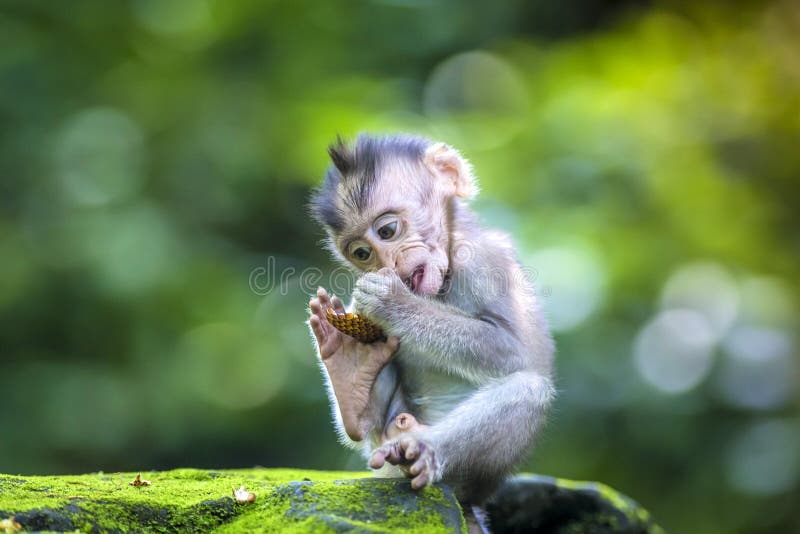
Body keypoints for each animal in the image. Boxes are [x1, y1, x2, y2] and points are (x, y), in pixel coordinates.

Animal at [307, 133, 555, 518]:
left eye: (387, 231)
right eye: (362, 253)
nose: (387, 263)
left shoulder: (483, 259)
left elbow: (512, 351)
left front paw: (393, 302)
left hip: (475, 477)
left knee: (529, 389)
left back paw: (425, 449)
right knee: (367, 428)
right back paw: (351, 376)